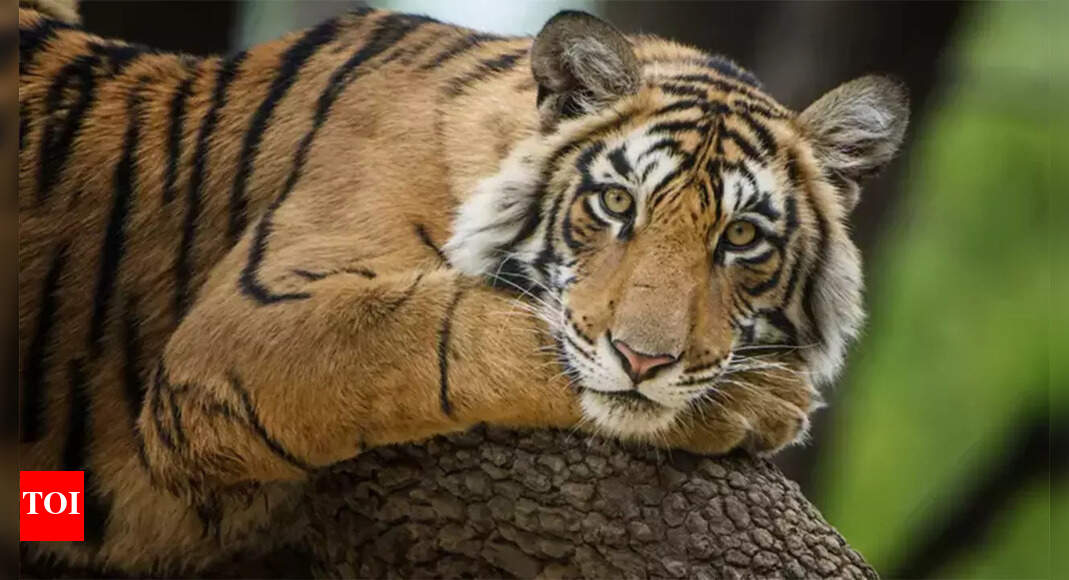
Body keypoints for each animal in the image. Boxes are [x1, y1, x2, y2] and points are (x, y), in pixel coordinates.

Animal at [18, 0, 909, 573]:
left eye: (741, 238)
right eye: (616, 204)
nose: (645, 361)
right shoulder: (243, 327)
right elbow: (453, 332)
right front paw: (758, 400)